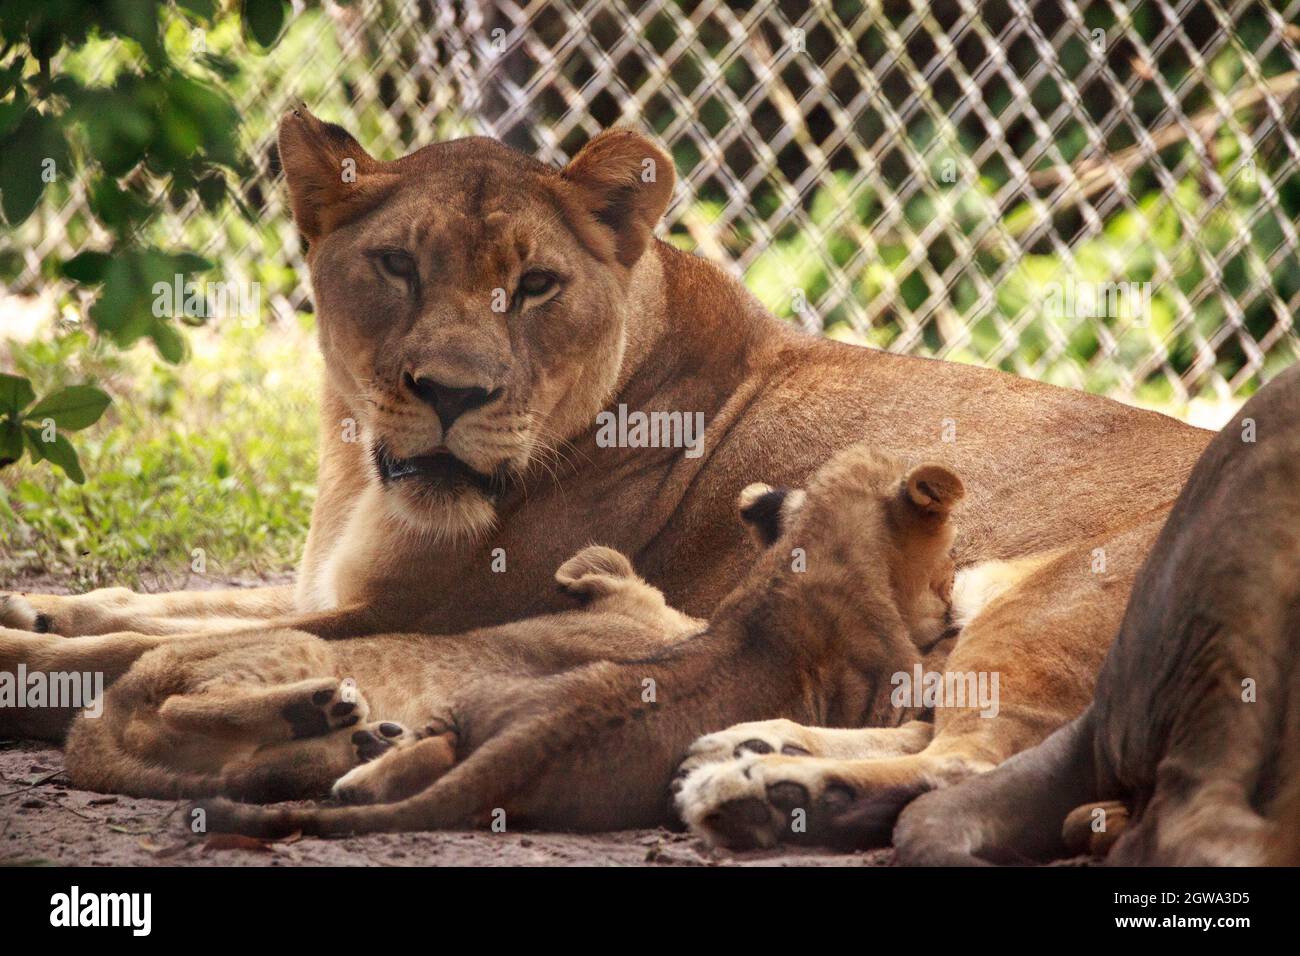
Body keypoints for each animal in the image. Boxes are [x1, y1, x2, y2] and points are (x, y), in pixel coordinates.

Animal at [6, 447, 955, 836]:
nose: (948, 615)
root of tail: (92, 732)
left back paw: (356, 738)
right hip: (250, 666)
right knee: (186, 699)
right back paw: (327, 705)